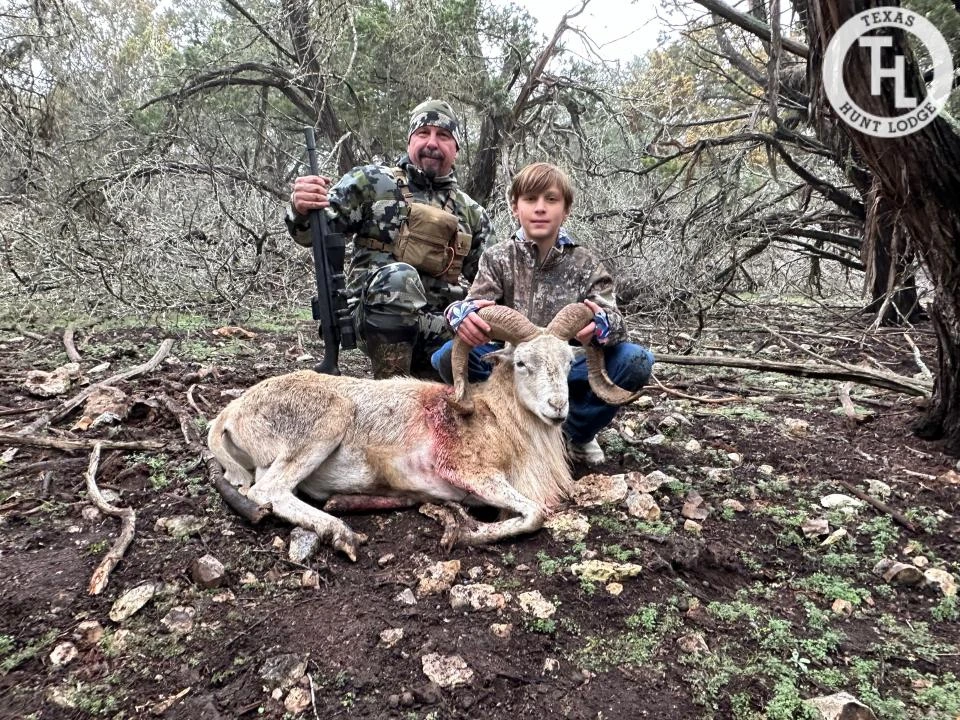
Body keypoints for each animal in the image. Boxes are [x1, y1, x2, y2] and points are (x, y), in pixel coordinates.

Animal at [206, 303, 642, 561]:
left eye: (569, 362)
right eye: (521, 363)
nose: (557, 408)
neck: (494, 419)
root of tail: (231, 413)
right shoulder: (470, 473)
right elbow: (535, 513)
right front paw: (462, 535)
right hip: (321, 430)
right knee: (267, 492)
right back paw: (343, 533)